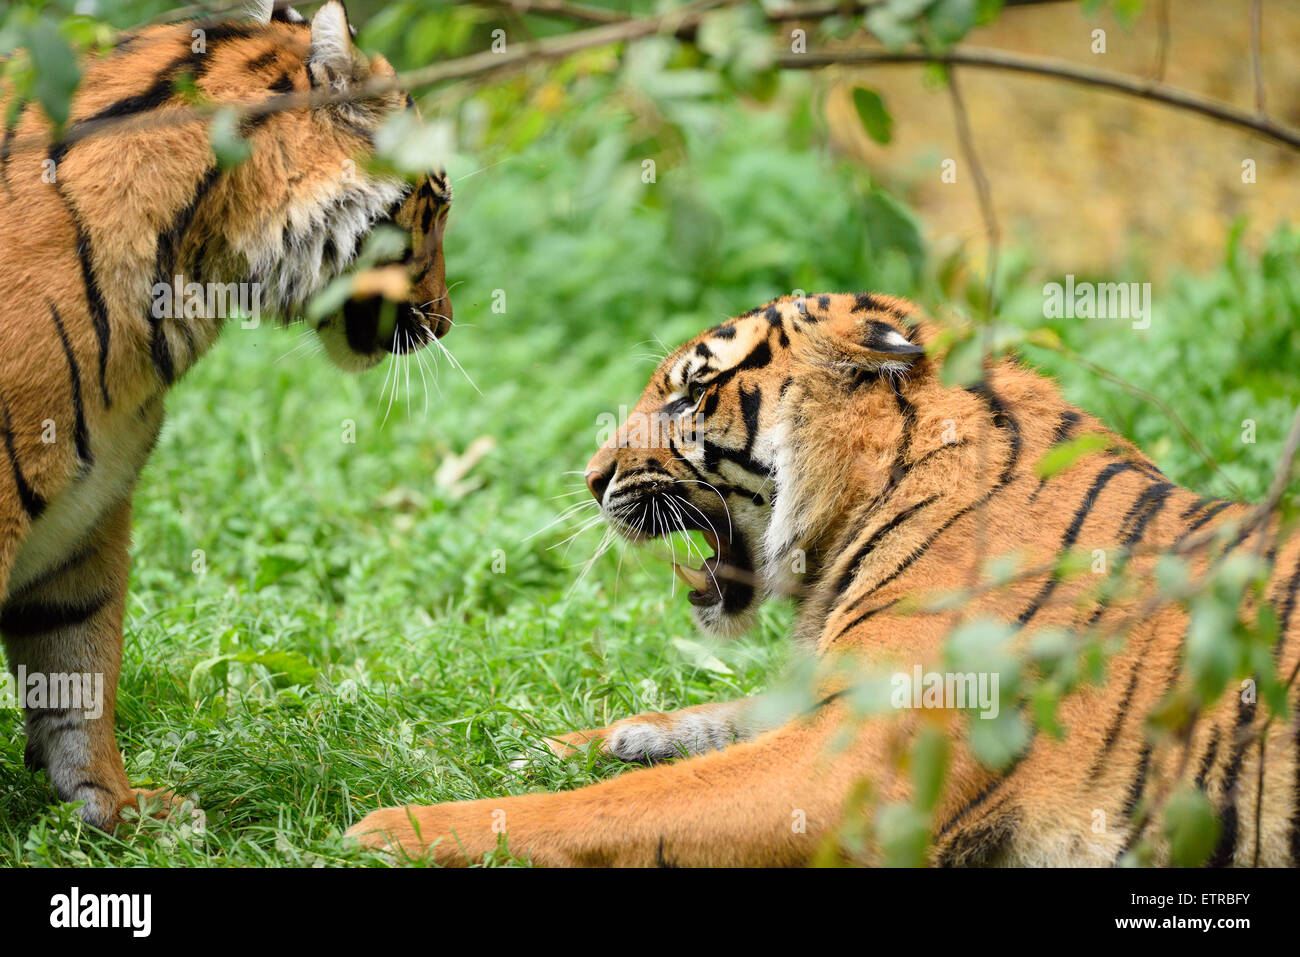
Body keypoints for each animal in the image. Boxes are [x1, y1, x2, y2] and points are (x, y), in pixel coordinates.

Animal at [348, 292, 1300, 867]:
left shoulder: (857, 763)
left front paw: (395, 826)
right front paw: (527, 745)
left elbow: (625, 805)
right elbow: (702, 722)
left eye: (690, 397)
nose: (589, 477)